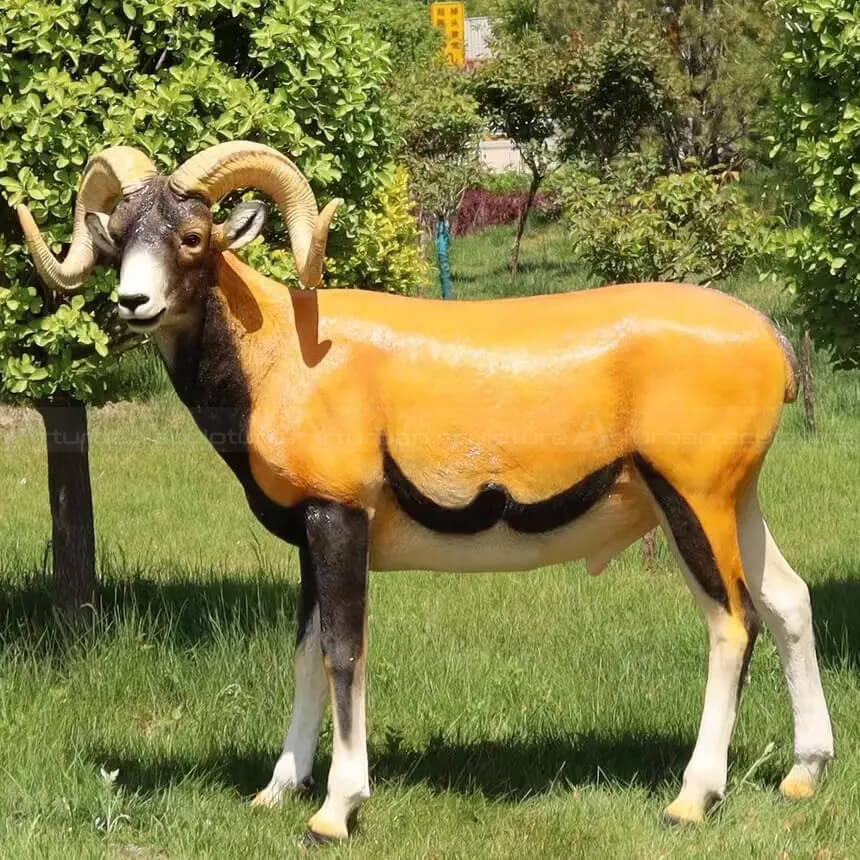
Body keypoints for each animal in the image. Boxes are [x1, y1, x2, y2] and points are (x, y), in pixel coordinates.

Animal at [17, 141, 834, 843]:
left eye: (191, 236)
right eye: (120, 237)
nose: (134, 302)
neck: (284, 352)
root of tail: (767, 339)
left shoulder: (338, 519)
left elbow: (344, 652)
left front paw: (334, 812)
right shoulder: (312, 538)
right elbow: (306, 653)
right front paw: (276, 791)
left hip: (691, 502)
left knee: (733, 621)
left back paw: (692, 800)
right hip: (736, 503)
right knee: (787, 601)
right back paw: (804, 774)